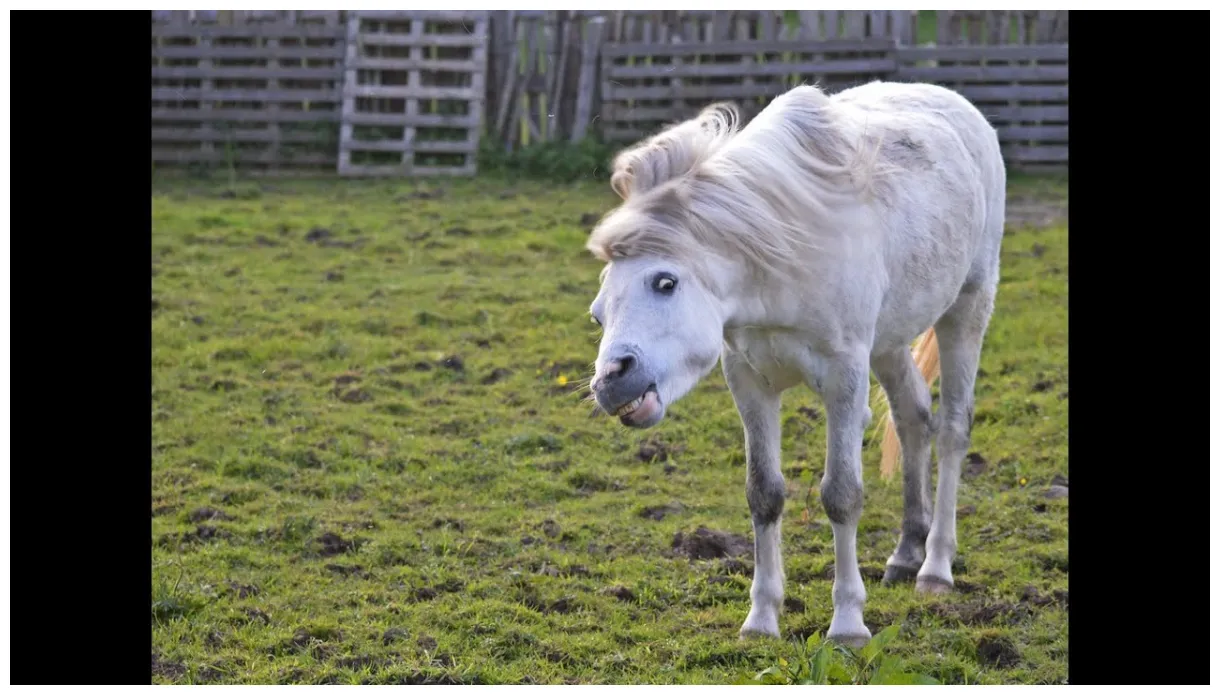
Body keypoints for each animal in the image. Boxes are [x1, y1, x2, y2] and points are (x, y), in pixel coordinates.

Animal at [584, 81, 1004, 646]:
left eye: (665, 282)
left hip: (967, 307)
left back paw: (935, 567)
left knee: (953, 430)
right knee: (913, 416)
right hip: (890, 339)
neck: (774, 270)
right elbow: (764, 493)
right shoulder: (750, 383)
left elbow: (841, 494)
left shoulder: (844, 379)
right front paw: (761, 620)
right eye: (597, 313)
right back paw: (905, 552)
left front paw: (847, 624)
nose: (611, 381)